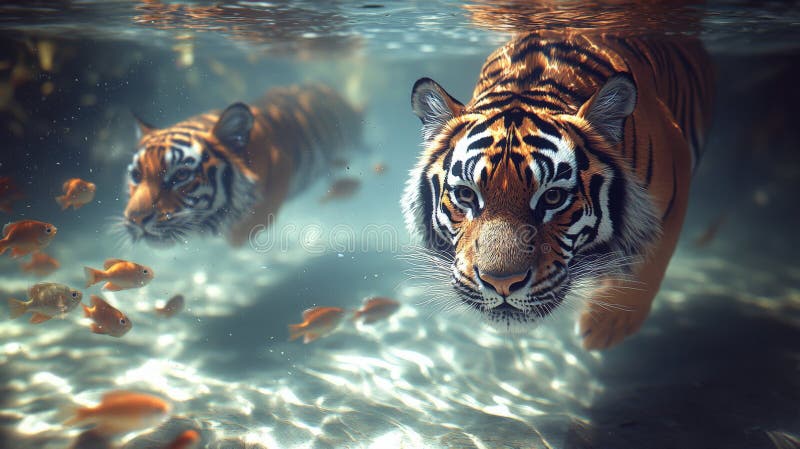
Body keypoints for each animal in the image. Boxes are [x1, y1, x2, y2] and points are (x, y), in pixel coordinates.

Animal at [123, 84, 362, 247]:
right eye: (137, 175)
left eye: (181, 176)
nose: (136, 219)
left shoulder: (282, 163)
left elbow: (261, 210)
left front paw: (236, 237)